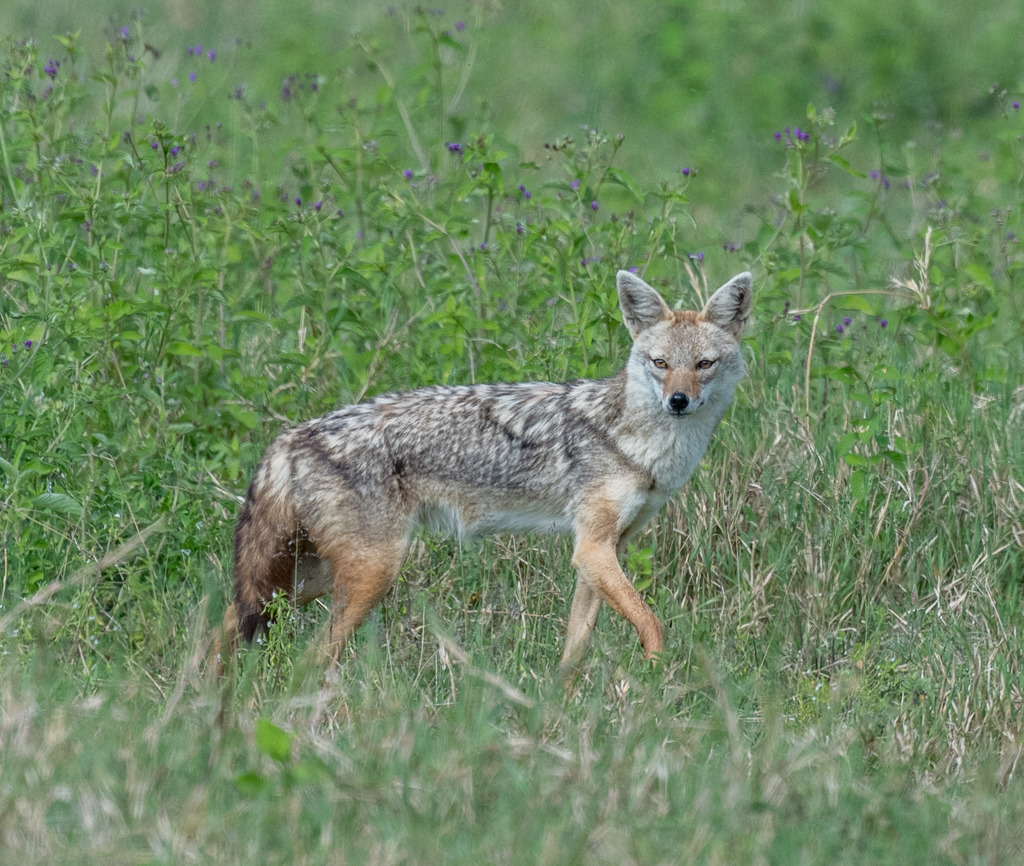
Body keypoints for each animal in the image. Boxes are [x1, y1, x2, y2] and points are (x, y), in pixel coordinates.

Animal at [228, 269, 752, 671]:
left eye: (703, 364)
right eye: (660, 363)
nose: (678, 401)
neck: (639, 444)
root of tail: (292, 435)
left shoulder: (601, 552)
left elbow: (576, 647)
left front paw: (561, 706)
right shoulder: (593, 550)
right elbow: (652, 623)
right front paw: (654, 684)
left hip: (299, 584)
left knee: (226, 627)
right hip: (366, 578)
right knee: (310, 659)